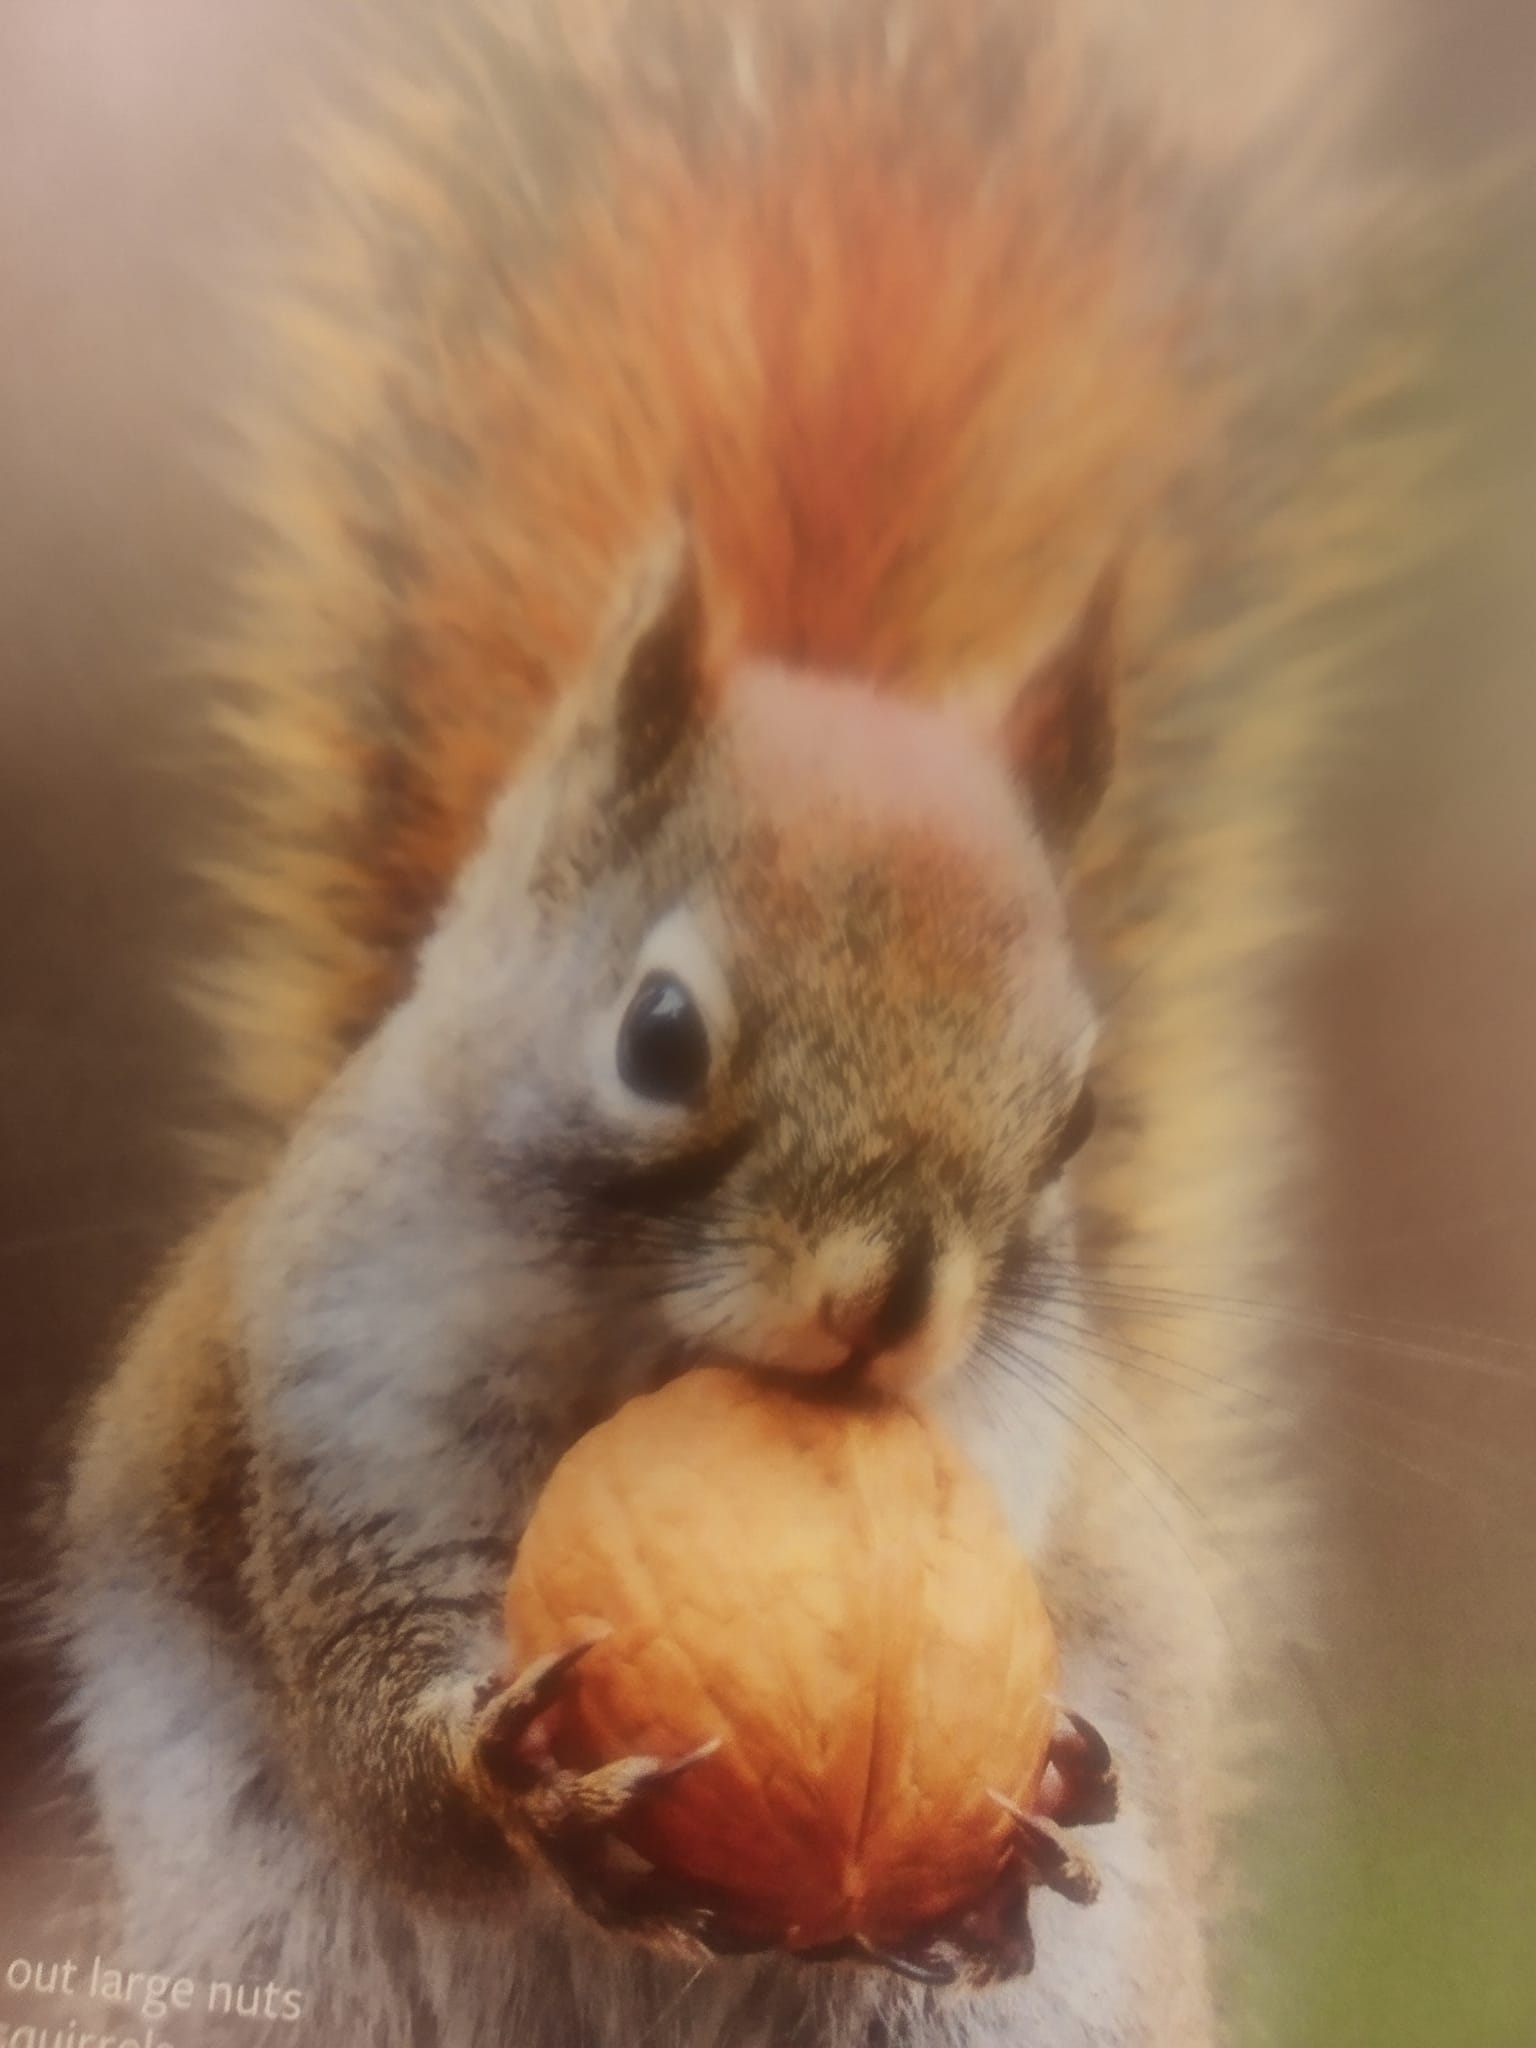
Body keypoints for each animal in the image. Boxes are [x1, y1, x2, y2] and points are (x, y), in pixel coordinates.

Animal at [53, 1, 1414, 2044]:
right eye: (661, 1037)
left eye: (1081, 1117)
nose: (891, 1294)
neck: (652, 1359)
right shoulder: (334, 1404)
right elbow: (371, 1736)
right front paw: (506, 1783)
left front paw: (1049, 1789)